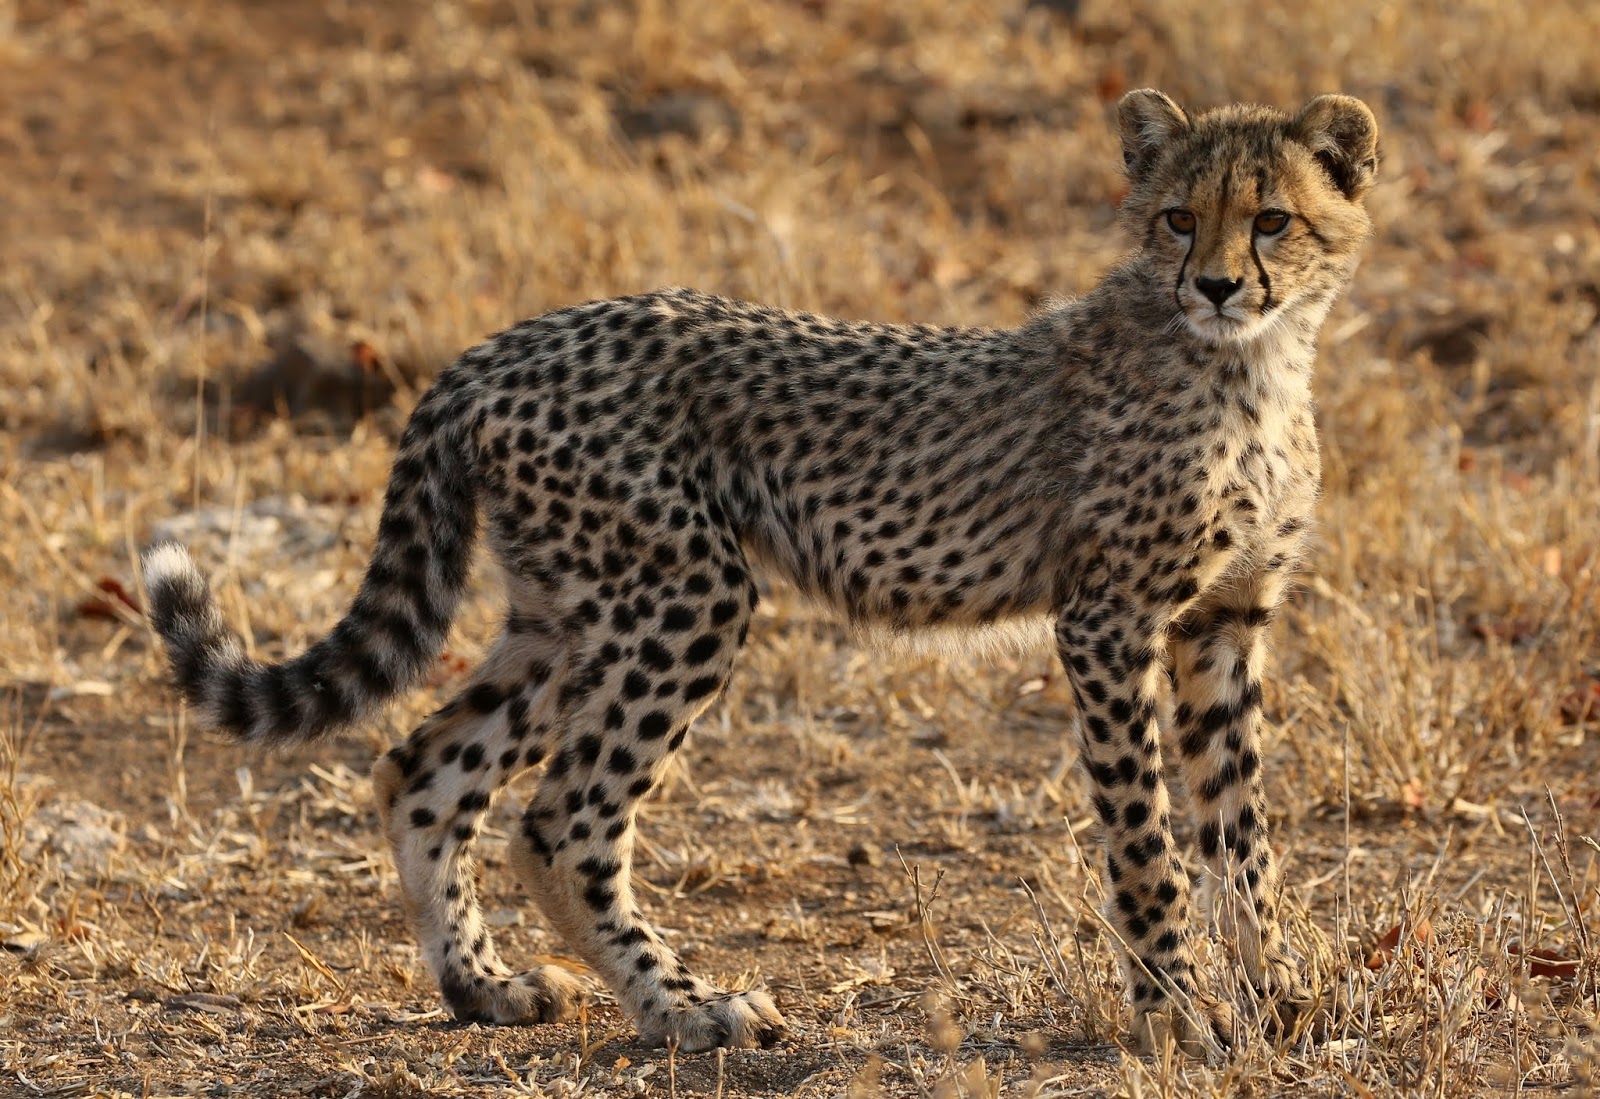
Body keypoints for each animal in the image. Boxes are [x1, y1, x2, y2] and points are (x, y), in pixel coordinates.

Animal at [142, 89, 1378, 1057]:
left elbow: (1238, 830)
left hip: (563, 612)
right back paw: (688, 1008)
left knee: (425, 767)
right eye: (1179, 218)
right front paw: (1175, 1013)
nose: (1216, 285)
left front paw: (1274, 995)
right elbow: (1146, 837)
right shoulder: (1107, 618)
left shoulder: (1225, 620)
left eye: (1272, 219)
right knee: (562, 819)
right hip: (685, 594)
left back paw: (484, 987)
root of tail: (500, 344)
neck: (1250, 368)